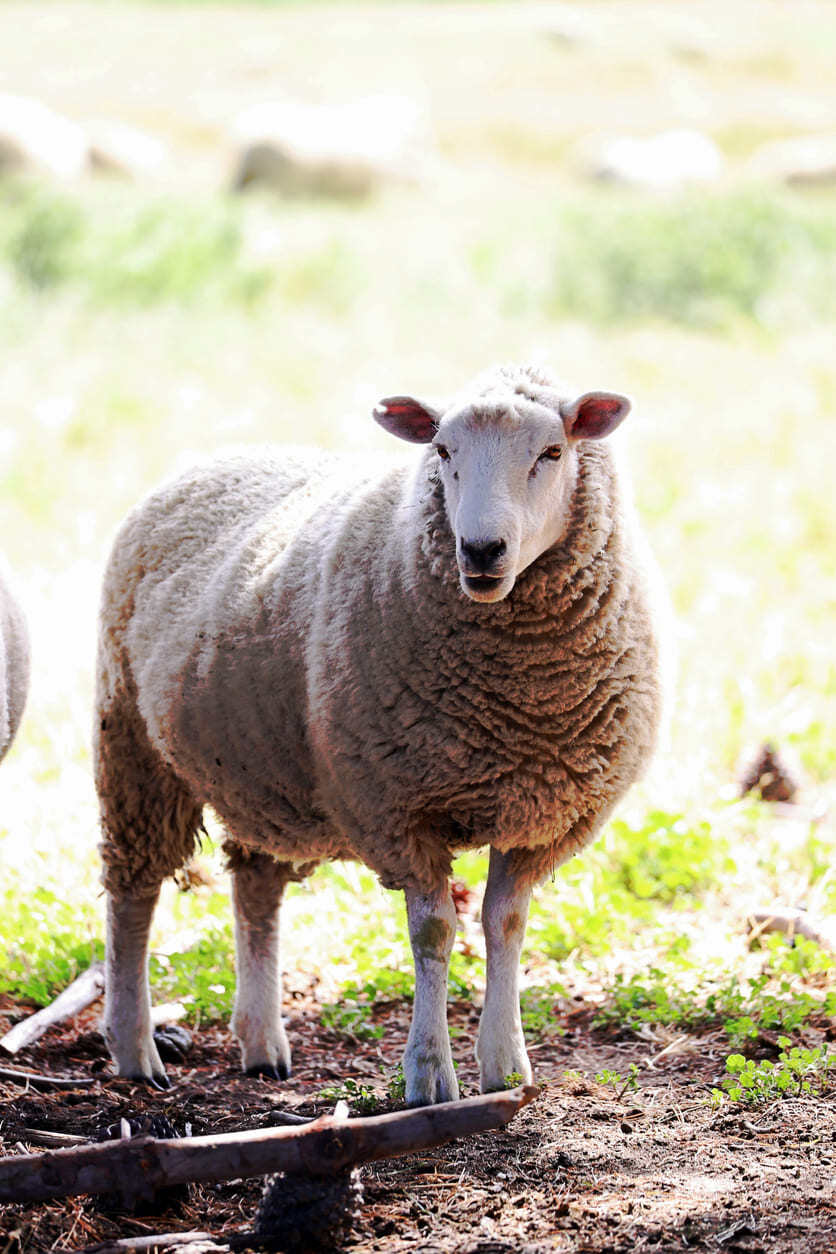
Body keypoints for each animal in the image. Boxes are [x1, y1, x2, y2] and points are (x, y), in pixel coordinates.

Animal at [97, 362, 663, 1103]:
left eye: (552, 452)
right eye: (444, 452)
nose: (481, 550)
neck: (518, 707)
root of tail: (217, 456)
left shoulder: (538, 815)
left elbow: (504, 923)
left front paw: (506, 1067)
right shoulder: (398, 810)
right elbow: (434, 933)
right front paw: (429, 1075)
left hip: (264, 772)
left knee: (256, 892)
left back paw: (262, 1043)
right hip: (132, 745)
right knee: (133, 896)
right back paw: (135, 1049)